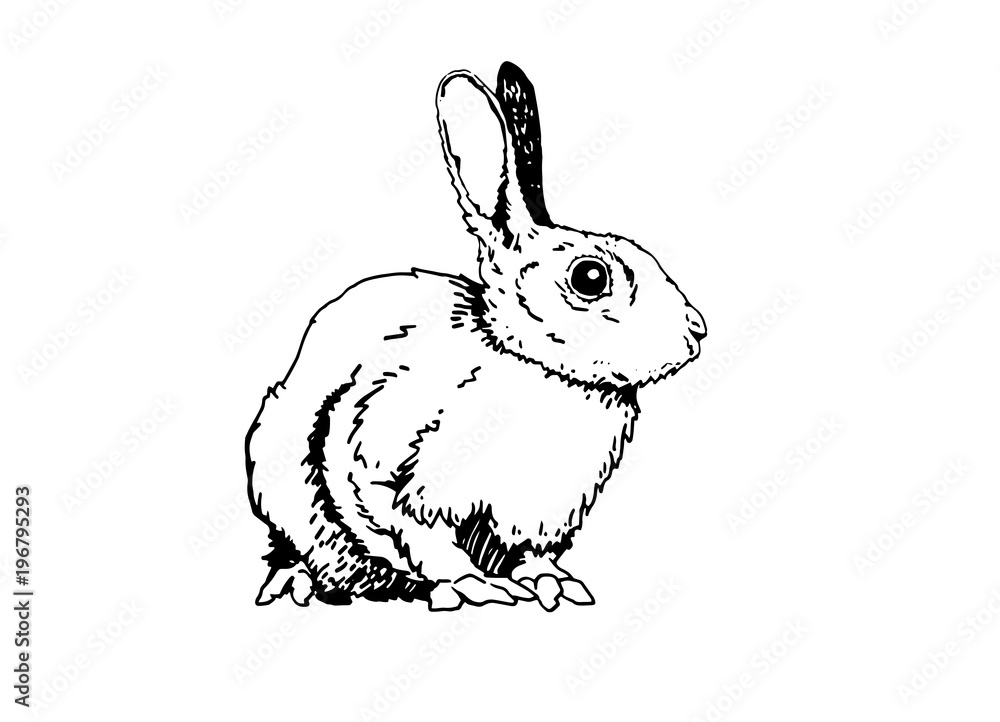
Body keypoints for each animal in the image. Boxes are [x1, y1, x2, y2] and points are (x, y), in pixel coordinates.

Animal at [245, 61, 706, 612]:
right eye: (590, 278)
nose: (698, 330)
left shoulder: (540, 517)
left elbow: (531, 554)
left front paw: (553, 583)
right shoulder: (378, 455)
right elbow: (405, 529)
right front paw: (472, 585)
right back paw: (291, 583)